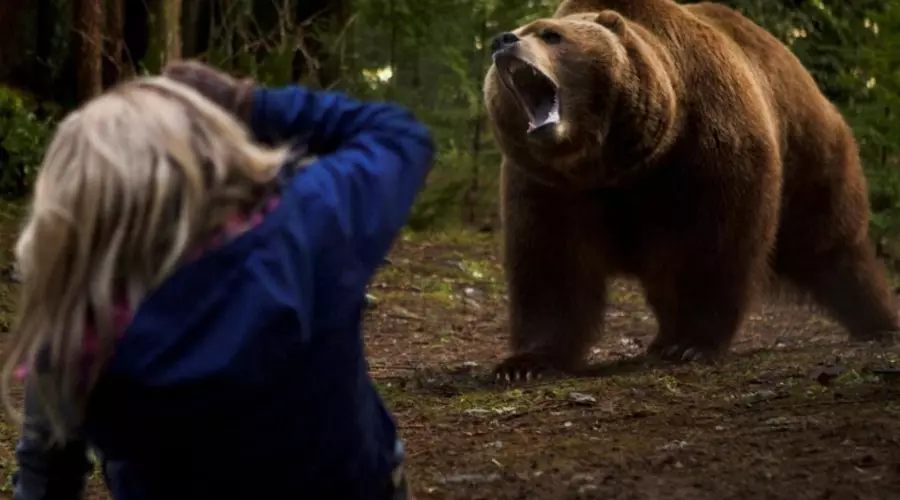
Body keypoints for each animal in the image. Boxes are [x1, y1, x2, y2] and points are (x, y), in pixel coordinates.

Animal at [486, 0, 900, 380]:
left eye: (551, 34)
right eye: (521, 30)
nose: (503, 41)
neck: (613, 163)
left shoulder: (706, 149)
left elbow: (714, 247)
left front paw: (692, 344)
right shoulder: (549, 187)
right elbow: (550, 265)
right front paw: (524, 363)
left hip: (808, 151)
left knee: (831, 244)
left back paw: (878, 322)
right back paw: (660, 339)